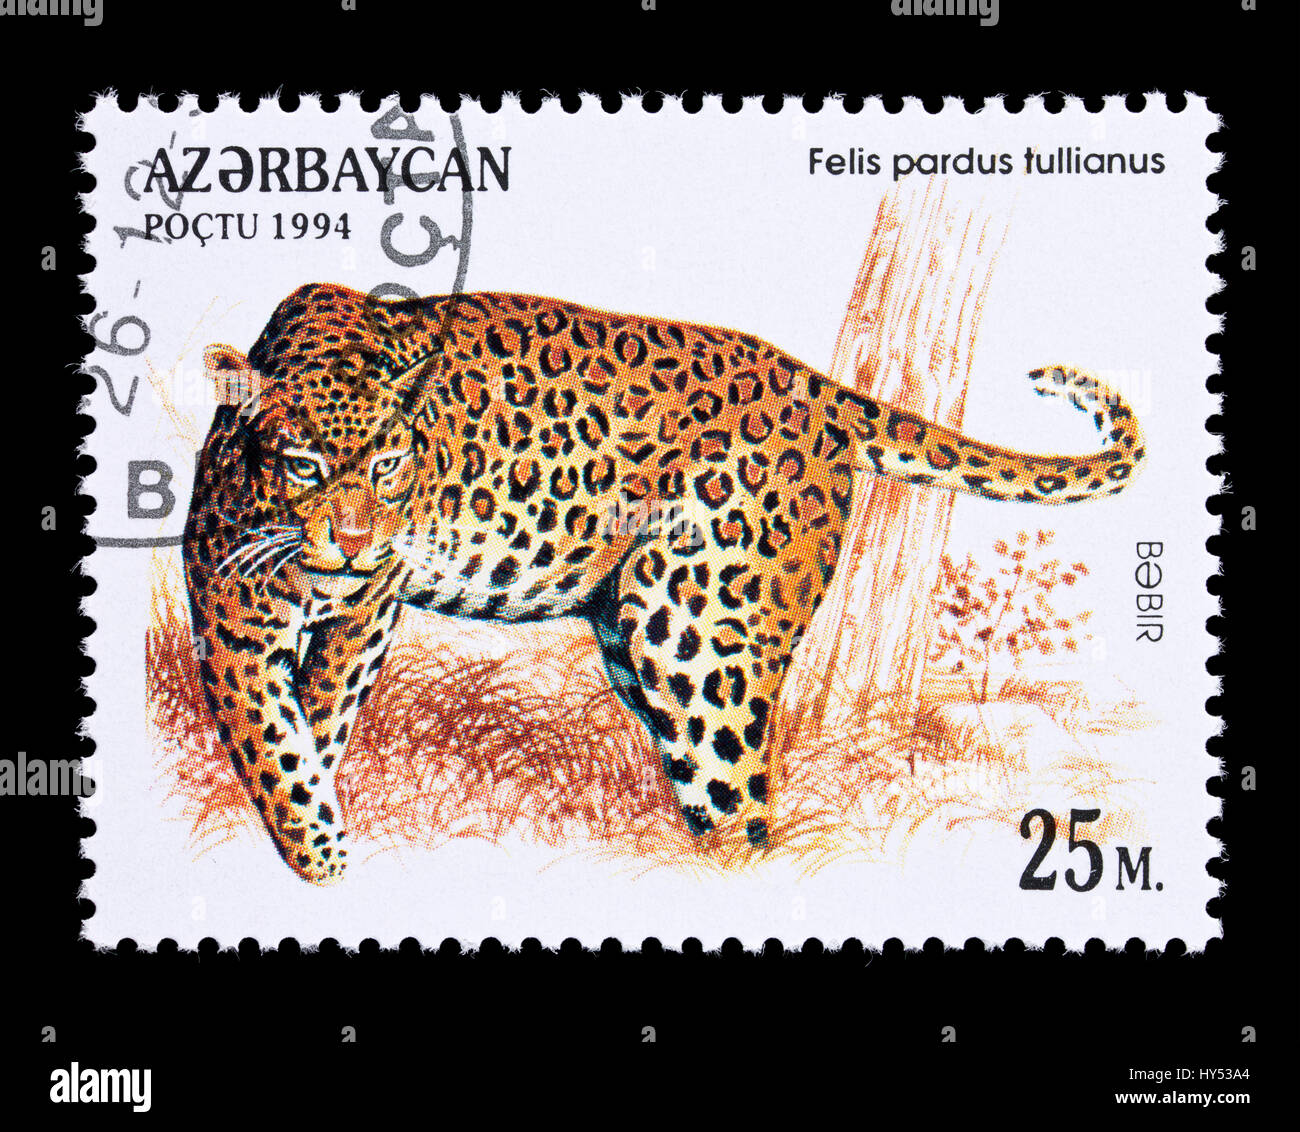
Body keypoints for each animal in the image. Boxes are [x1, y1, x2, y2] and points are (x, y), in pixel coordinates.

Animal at [182, 283, 1145, 884]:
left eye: (388, 467)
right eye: (304, 465)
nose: (354, 542)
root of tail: (816, 390)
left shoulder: (361, 609)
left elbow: (297, 737)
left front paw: (321, 862)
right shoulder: (234, 611)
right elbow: (281, 740)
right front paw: (318, 848)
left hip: (695, 634)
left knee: (744, 808)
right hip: (639, 637)